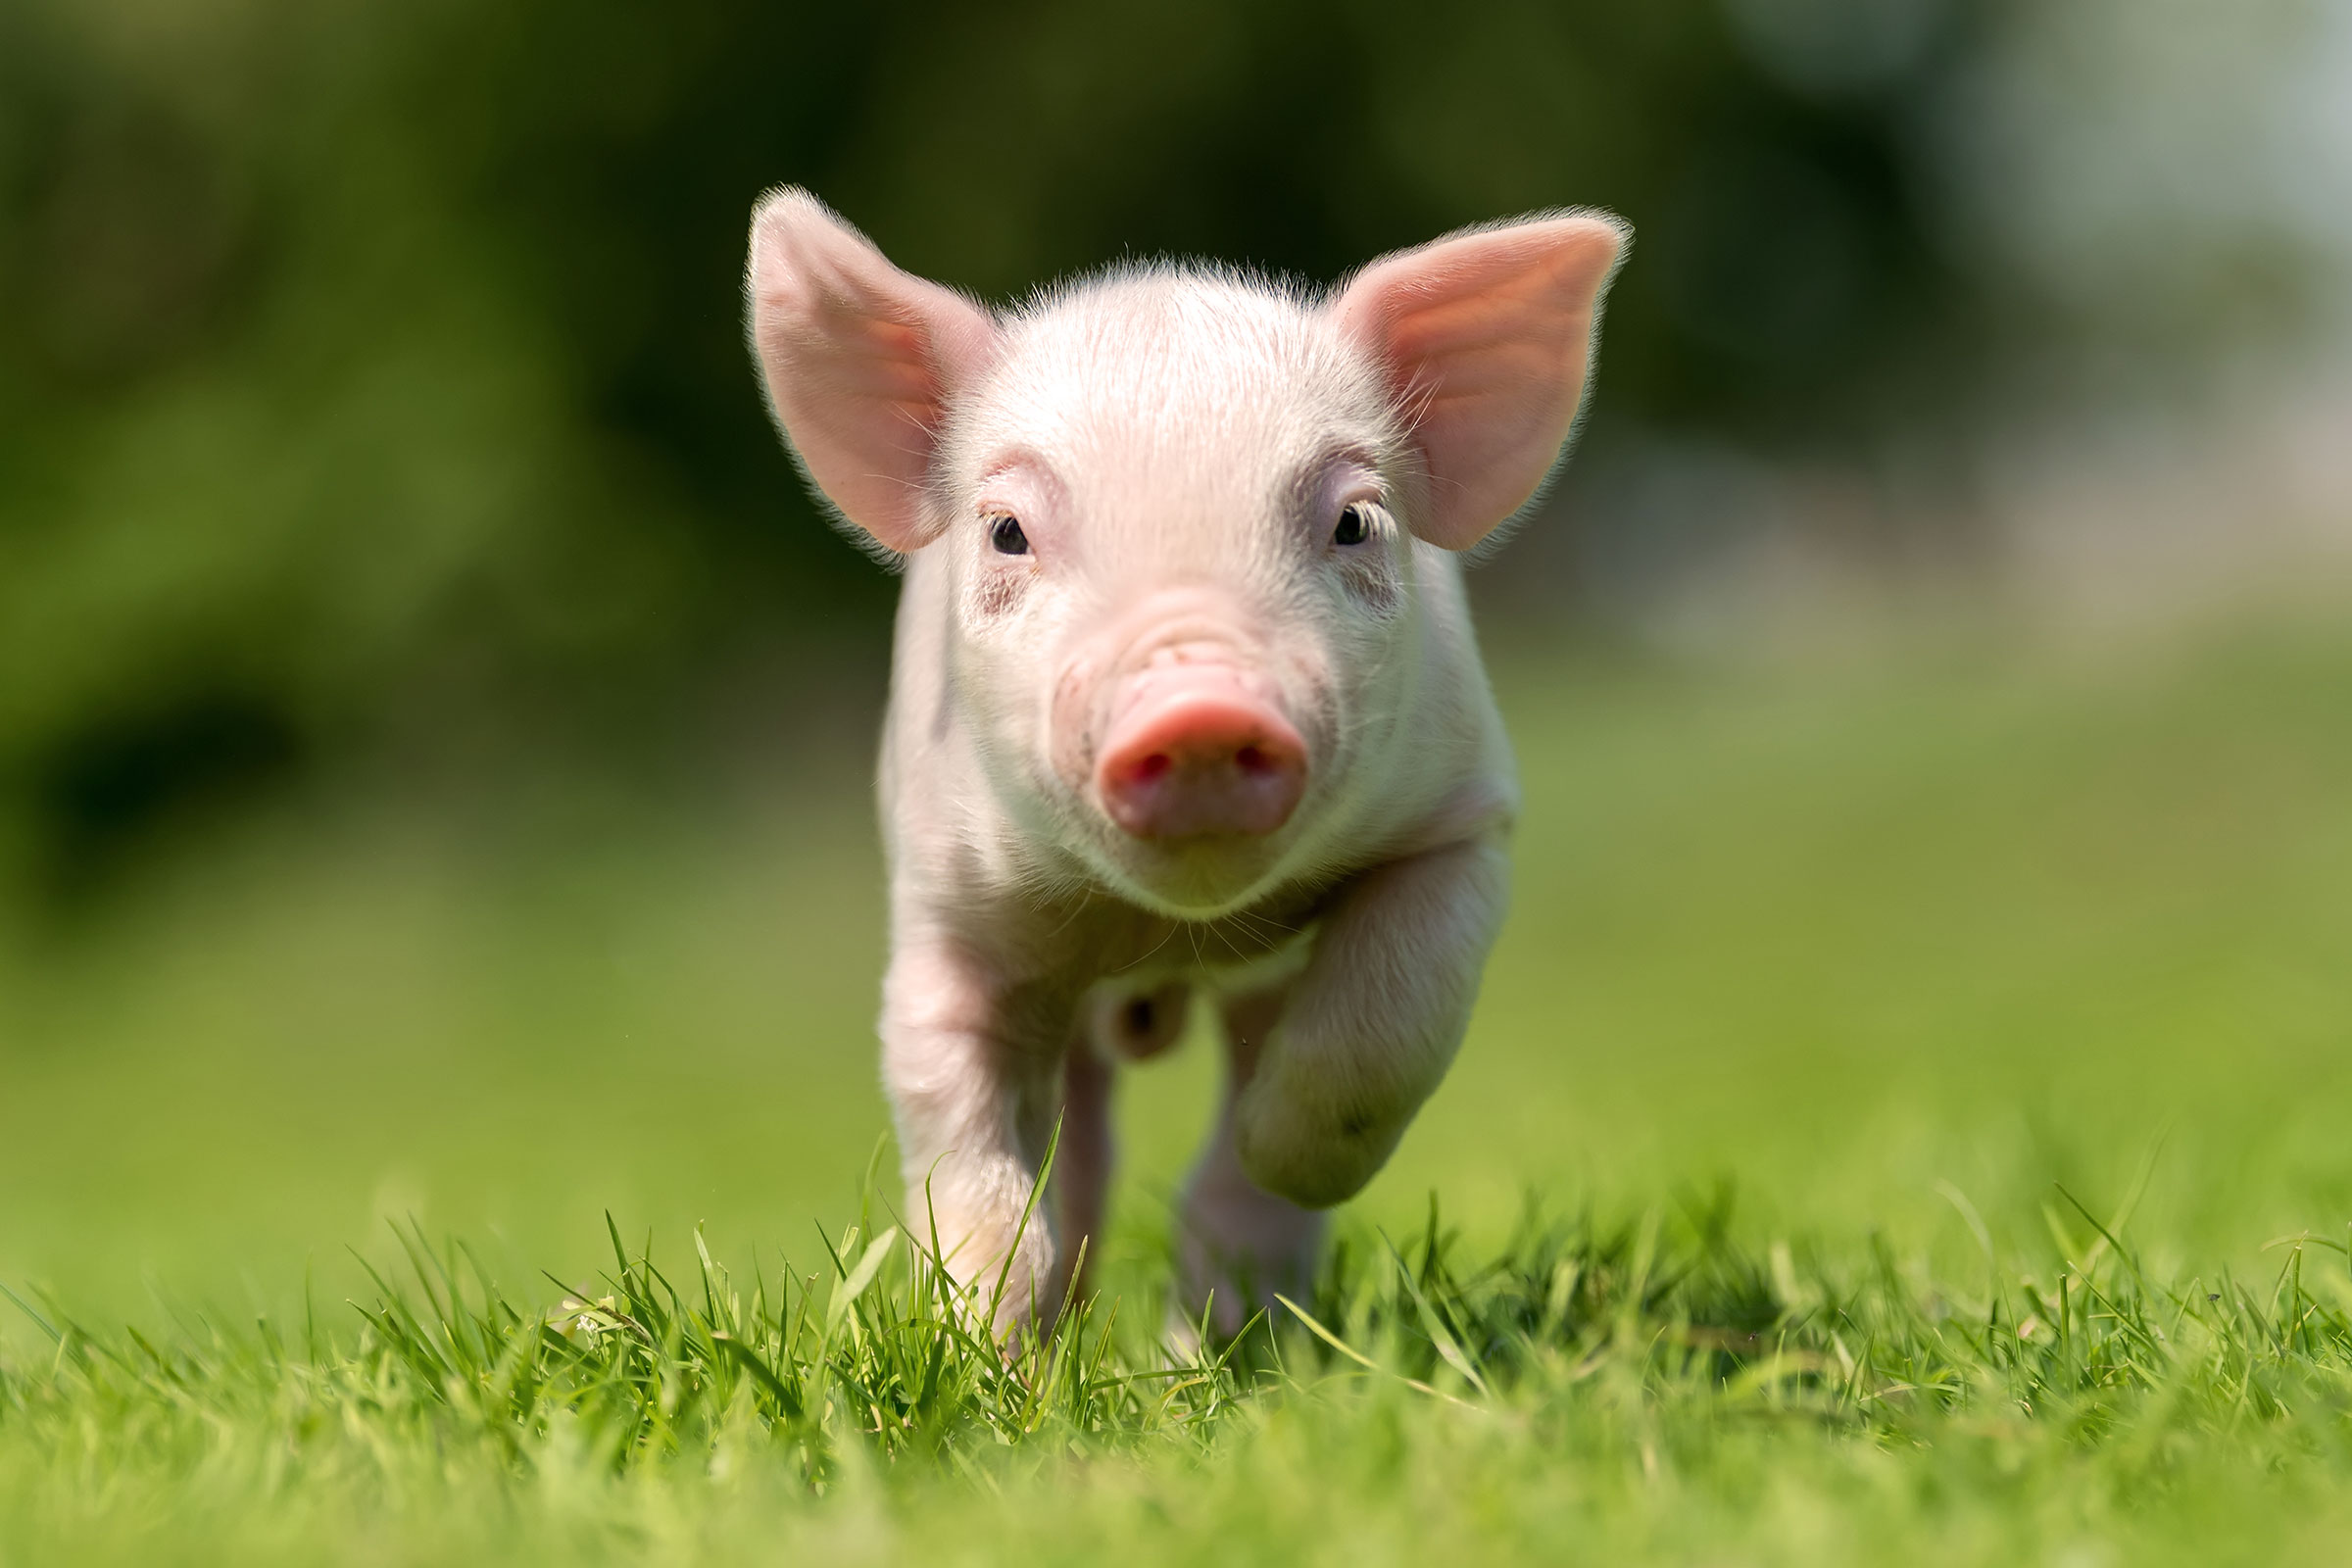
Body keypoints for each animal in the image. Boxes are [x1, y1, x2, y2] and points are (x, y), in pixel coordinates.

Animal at [744, 189, 1626, 1333]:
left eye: (1354, 521)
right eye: (1007, 532)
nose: (1199, 703)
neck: (1168, 933)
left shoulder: (1462, 824)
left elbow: (1388, 1022)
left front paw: (1276, 1150)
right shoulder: (947, 908)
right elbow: (959, 1133)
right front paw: (979, 1336)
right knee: (1082, 1146)